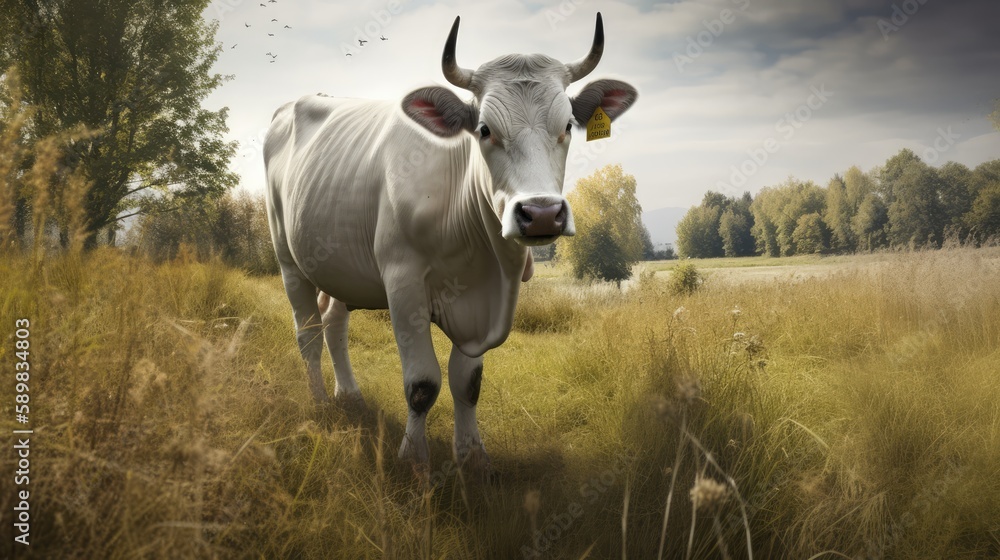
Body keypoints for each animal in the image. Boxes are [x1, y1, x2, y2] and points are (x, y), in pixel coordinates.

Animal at [263, 13, 637, 471]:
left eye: (567, 126)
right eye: (484, 129)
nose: (541, 213)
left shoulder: (485, 295)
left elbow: (468, 383)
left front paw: (472, 455)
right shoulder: (402, 283)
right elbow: (422, 383)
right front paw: (413, 459)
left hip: (339, 262)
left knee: (334, 323)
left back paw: (349, 394)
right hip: (289, 260)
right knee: (309, 334)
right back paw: (318, 401)